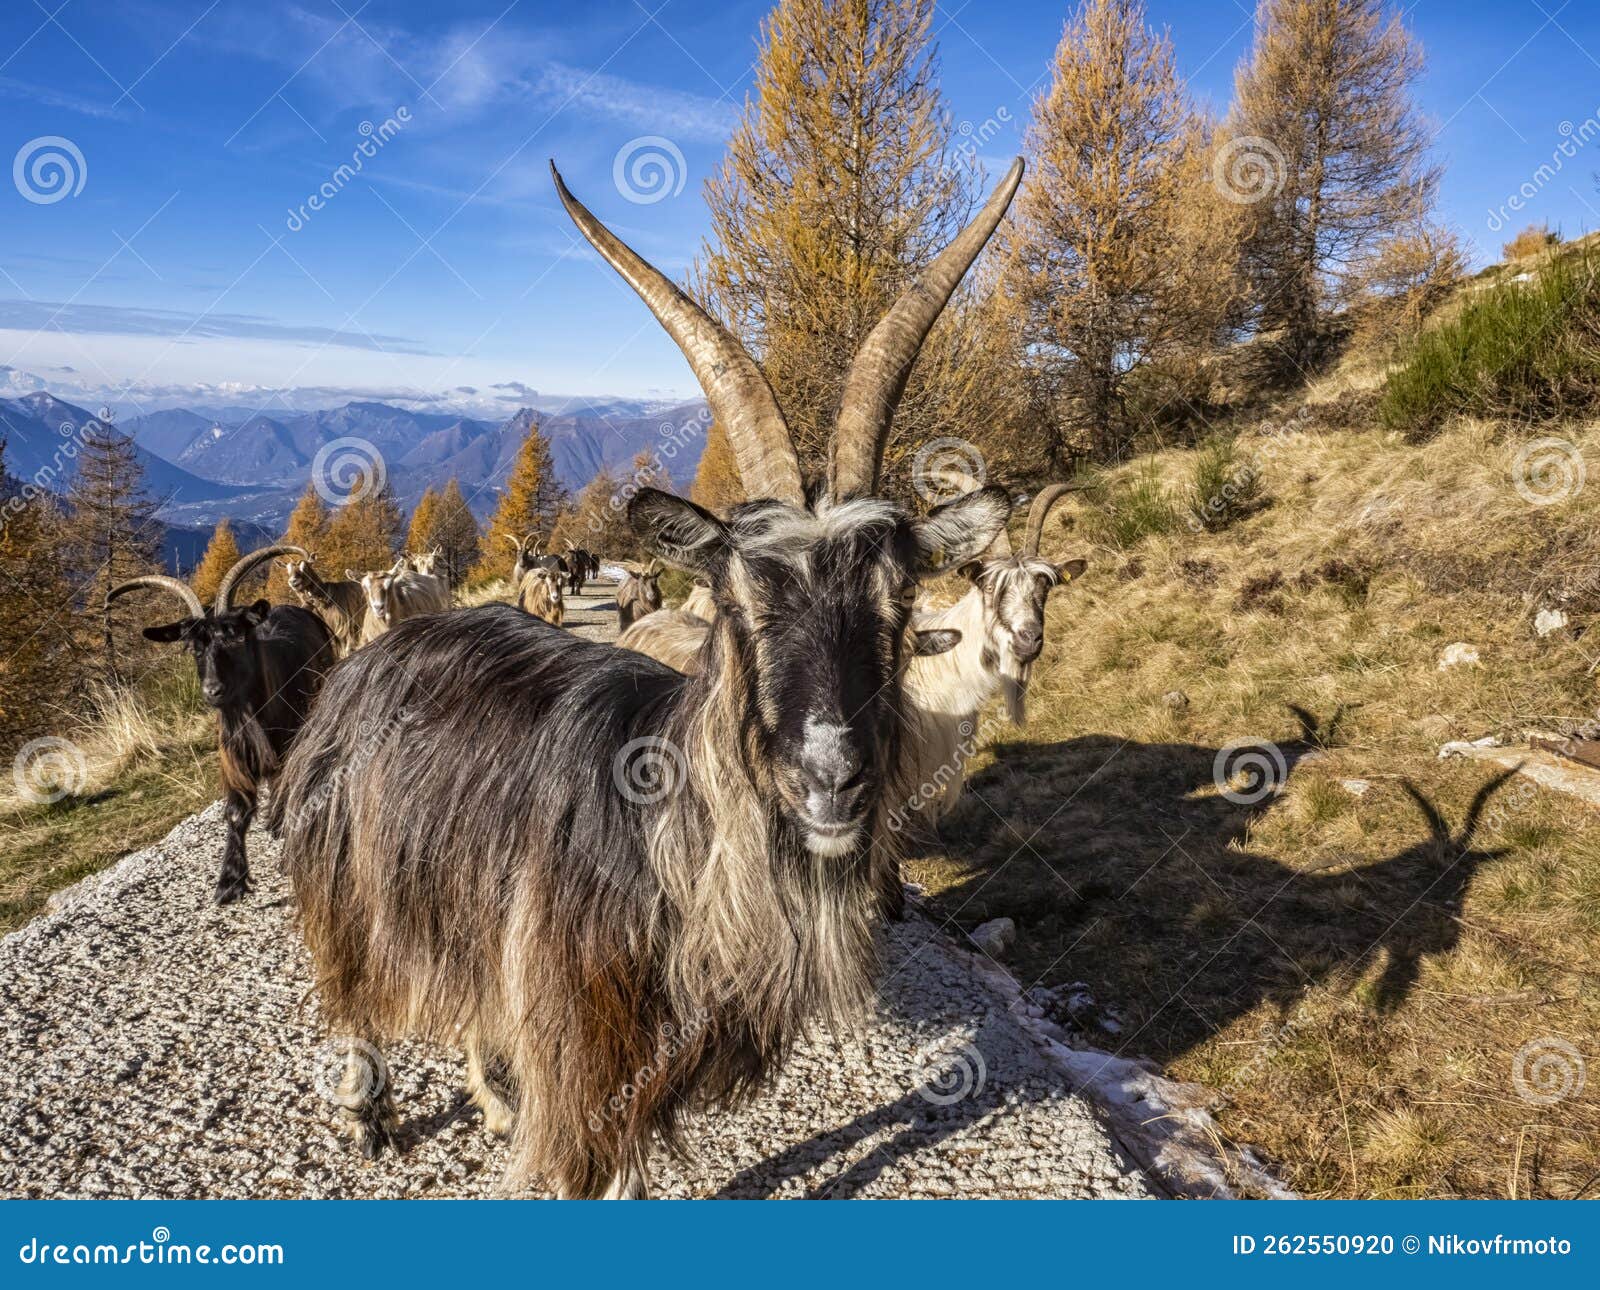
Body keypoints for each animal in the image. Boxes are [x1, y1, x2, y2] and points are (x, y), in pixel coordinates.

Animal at [108, 545, 335, 904]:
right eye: (194, 647)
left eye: (236, 638)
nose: (212, 690)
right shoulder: (233, 755)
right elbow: (236, 812)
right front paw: (230, 880)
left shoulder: (293, 740)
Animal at [269, 156, 1022, 1198]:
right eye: (740, 598)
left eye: (899, 599)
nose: (831, 778)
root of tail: (370, 653)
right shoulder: (587, 1053)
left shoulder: (640, 1067)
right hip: (350, 878)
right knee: (353, 993)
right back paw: (370, 1111)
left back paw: (495, 1098)